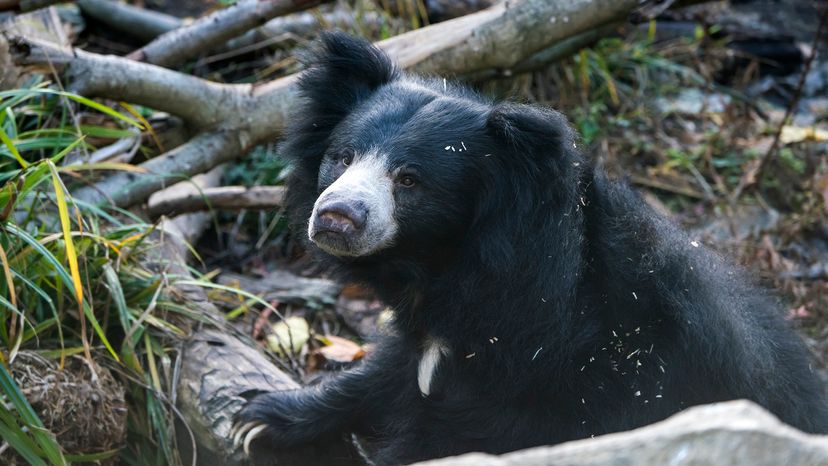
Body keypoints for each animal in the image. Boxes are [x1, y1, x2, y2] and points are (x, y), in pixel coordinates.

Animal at [233, 31, 828, 464]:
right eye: (342, 156)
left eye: (409, 180)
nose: (336, 217)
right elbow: (391, 372)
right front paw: (261, 417)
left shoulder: (577, 382)